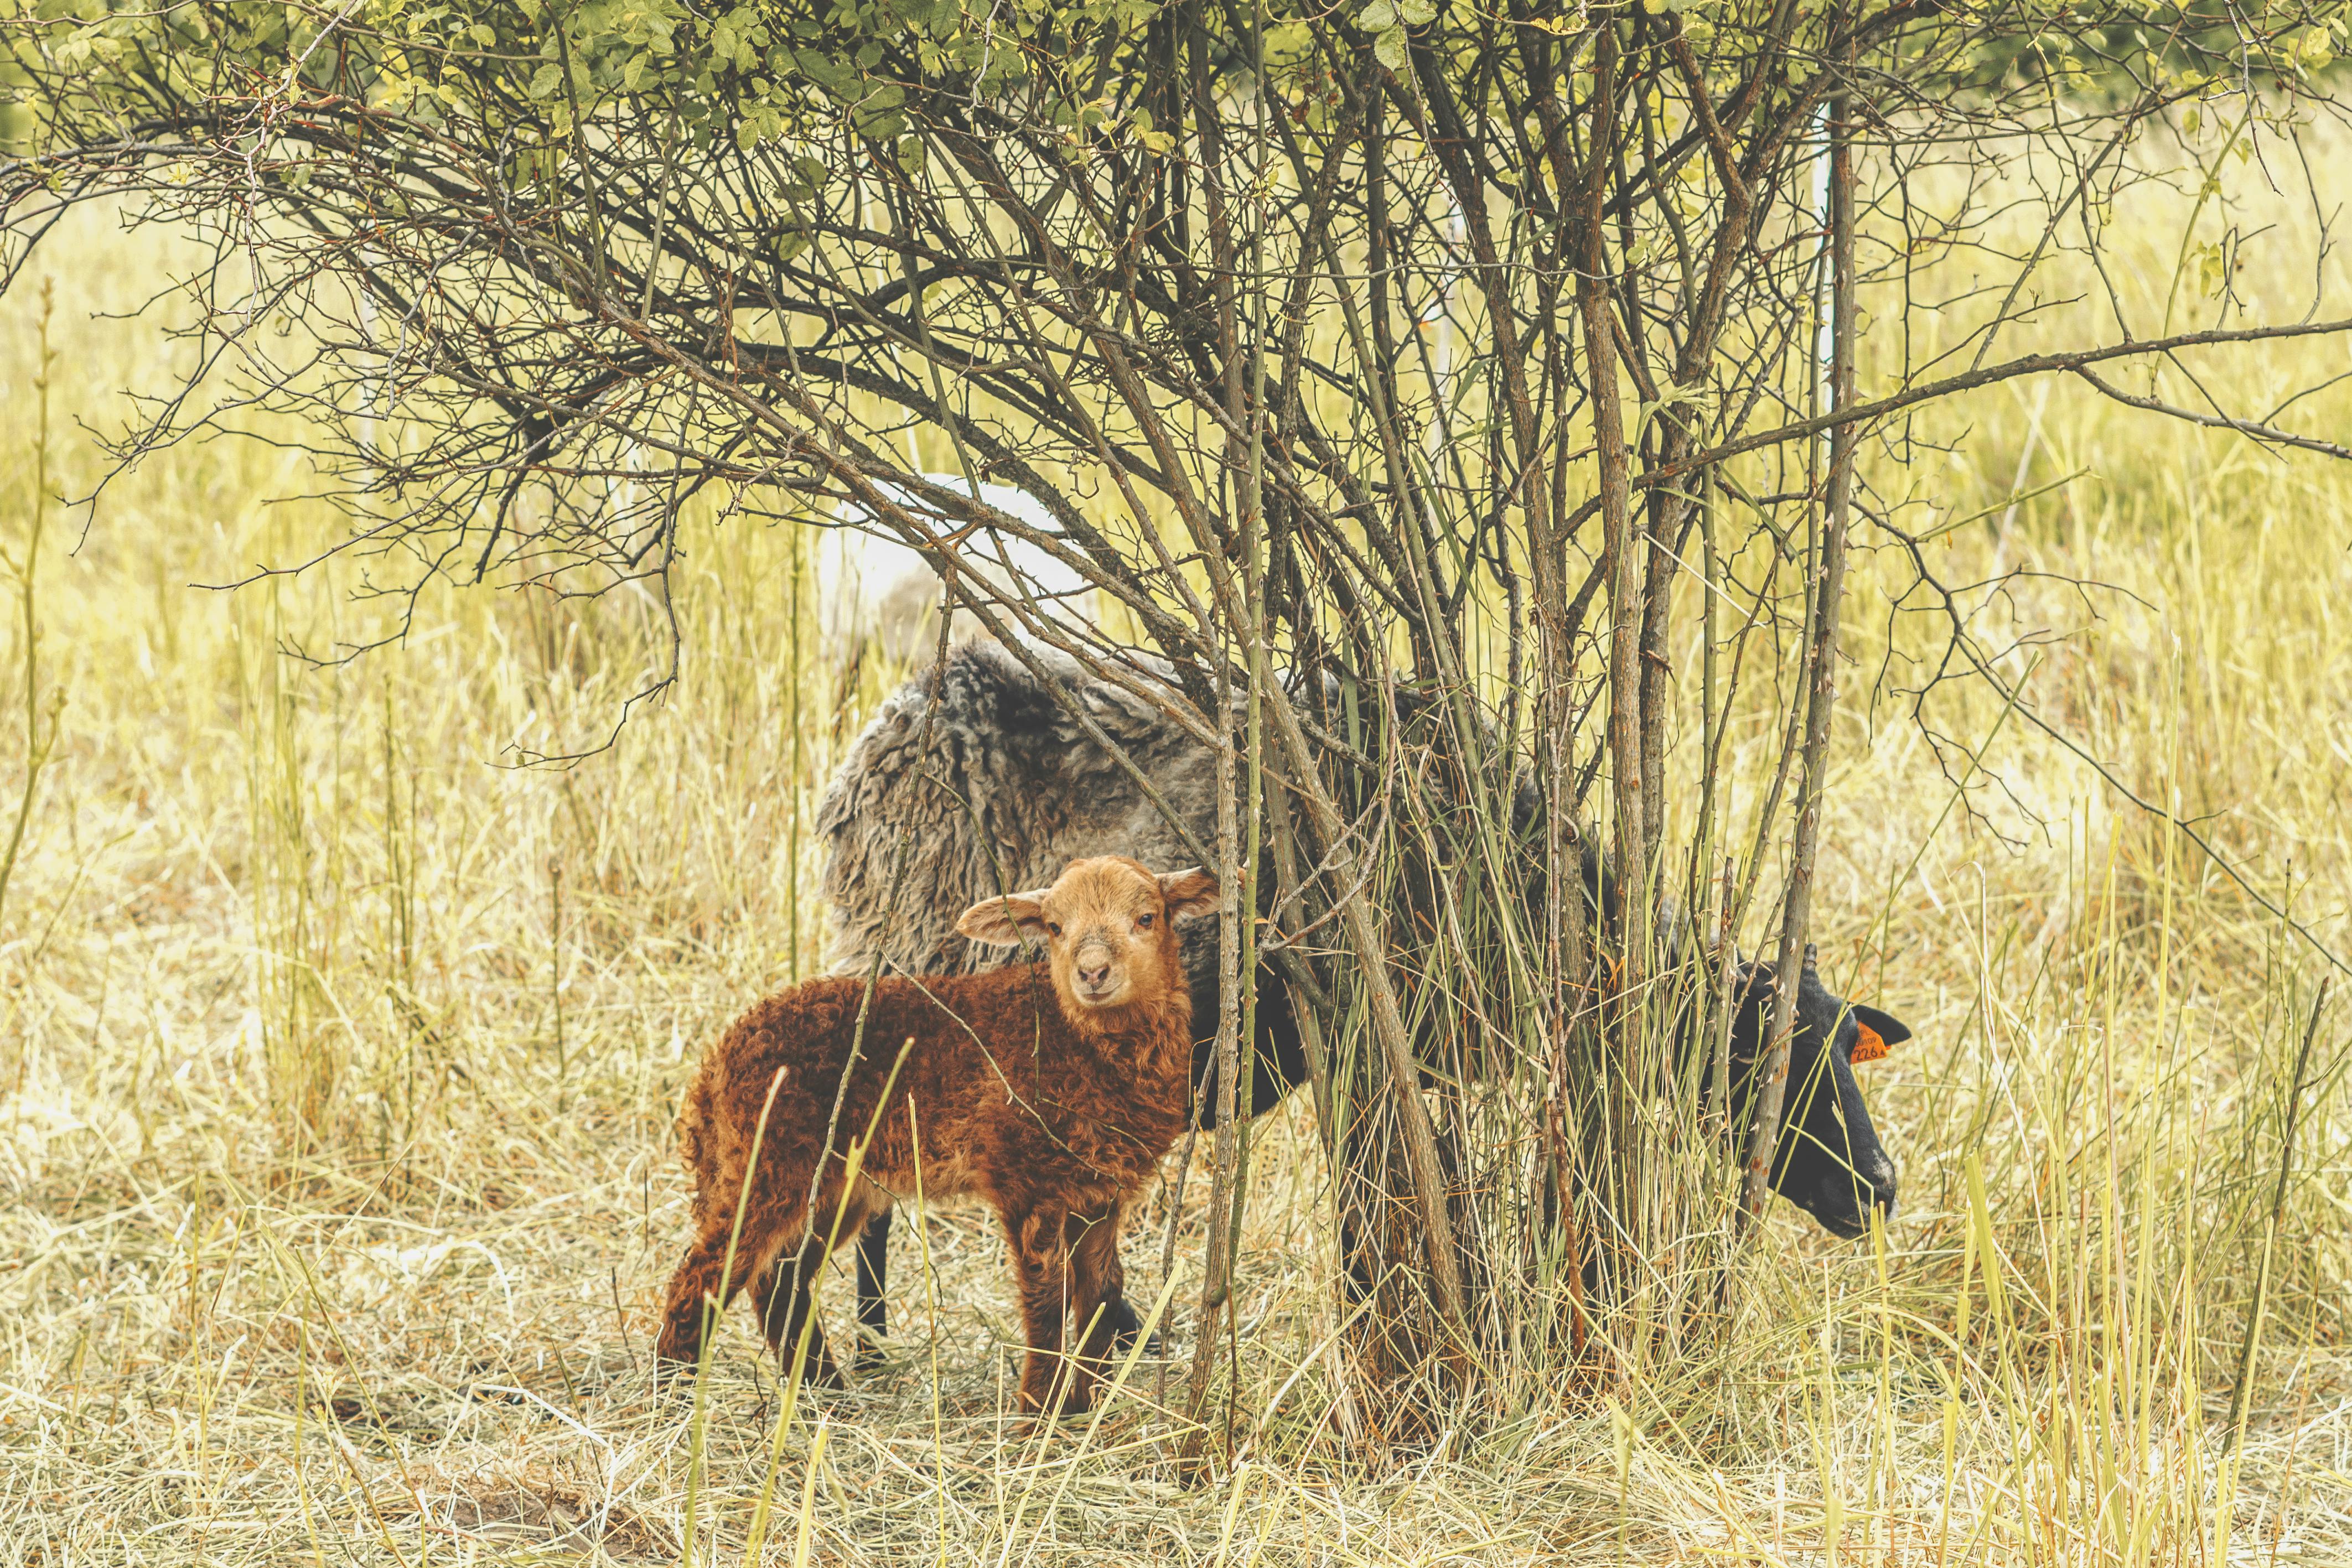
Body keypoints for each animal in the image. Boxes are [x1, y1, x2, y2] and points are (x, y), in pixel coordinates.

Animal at [655, 855, 1219, 1414]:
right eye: (1055, 928)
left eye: (1147, 918)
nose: (1093, 973)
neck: (1071, 1037)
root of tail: (718, 1061)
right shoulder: (1025, 1176)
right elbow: (1048, 1293)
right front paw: (1037, 1412)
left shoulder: (1100, 1186)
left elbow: (1101, 1289)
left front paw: (1084, 1406)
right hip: (765, 1163)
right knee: (702, 1277)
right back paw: (672, 1399)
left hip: (834, 1185)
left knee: (781, 1280)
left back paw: (826, 1397)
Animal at [817, 640, 1914, 1347]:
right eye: (1758, 1054)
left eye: (1845, 1045)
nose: (1880, 1185)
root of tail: (884, 735)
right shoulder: (1352, 1041)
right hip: (909, 968)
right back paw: (861, 1353)